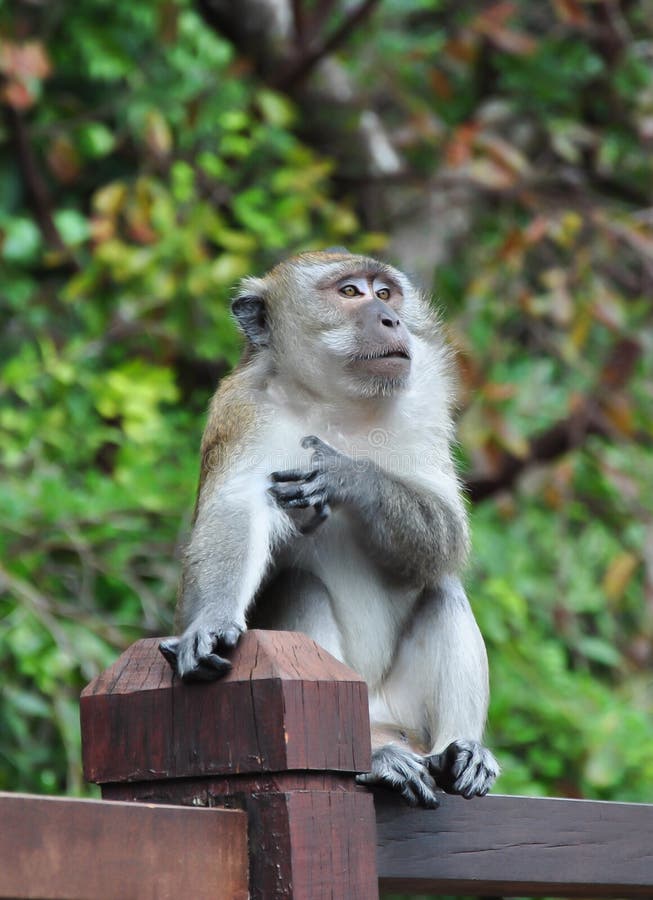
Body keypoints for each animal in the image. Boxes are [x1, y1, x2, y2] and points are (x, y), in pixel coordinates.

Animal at [160, 248, 499, 807]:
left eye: (384, 293)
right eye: (349, 293)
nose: (391, 320)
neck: (337, 402)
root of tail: (379, 718)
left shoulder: (425, 402)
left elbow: (449, 533)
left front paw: (351, 477)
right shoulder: (242, 410)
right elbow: (235, 508)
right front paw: (210, 622)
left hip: (406, 714)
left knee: (443, 587)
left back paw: (459, 753)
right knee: (298, 586)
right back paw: (381, 762)